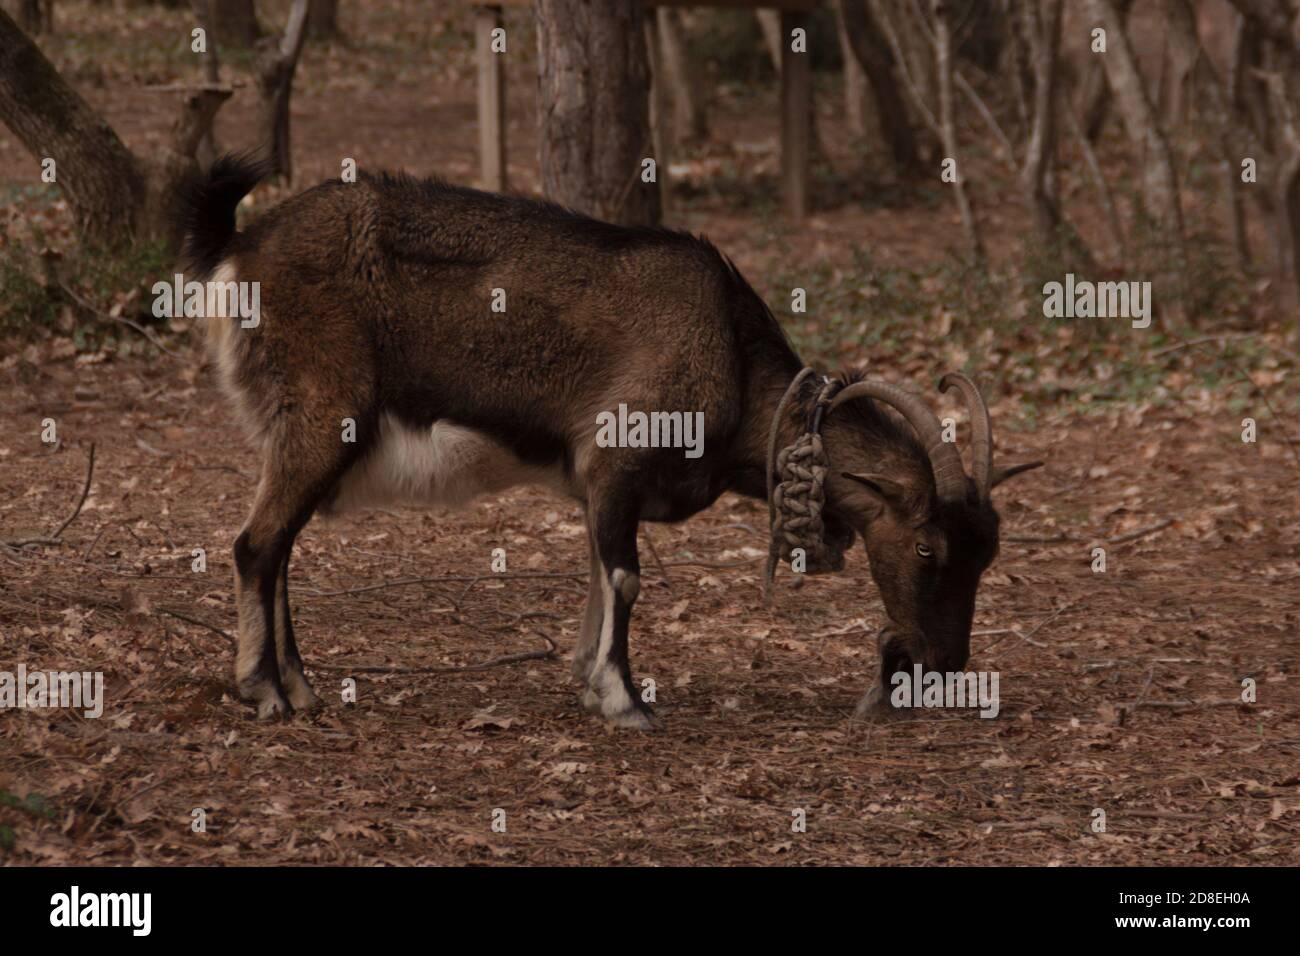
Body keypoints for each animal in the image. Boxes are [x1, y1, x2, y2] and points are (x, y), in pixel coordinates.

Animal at [179, 155, 1041, 728]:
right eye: (927, 546)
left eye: (988, 552)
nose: (945, 661)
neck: (729, 355)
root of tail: (240, 247)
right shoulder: (615, 461)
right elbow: (625, 579)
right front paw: (626, 702)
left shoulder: (597, 487)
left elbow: (598, 575)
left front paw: (593, 683)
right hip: (324, 416)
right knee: (257, 544)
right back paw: (267, 692)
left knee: (277, 548)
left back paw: (300, 684)